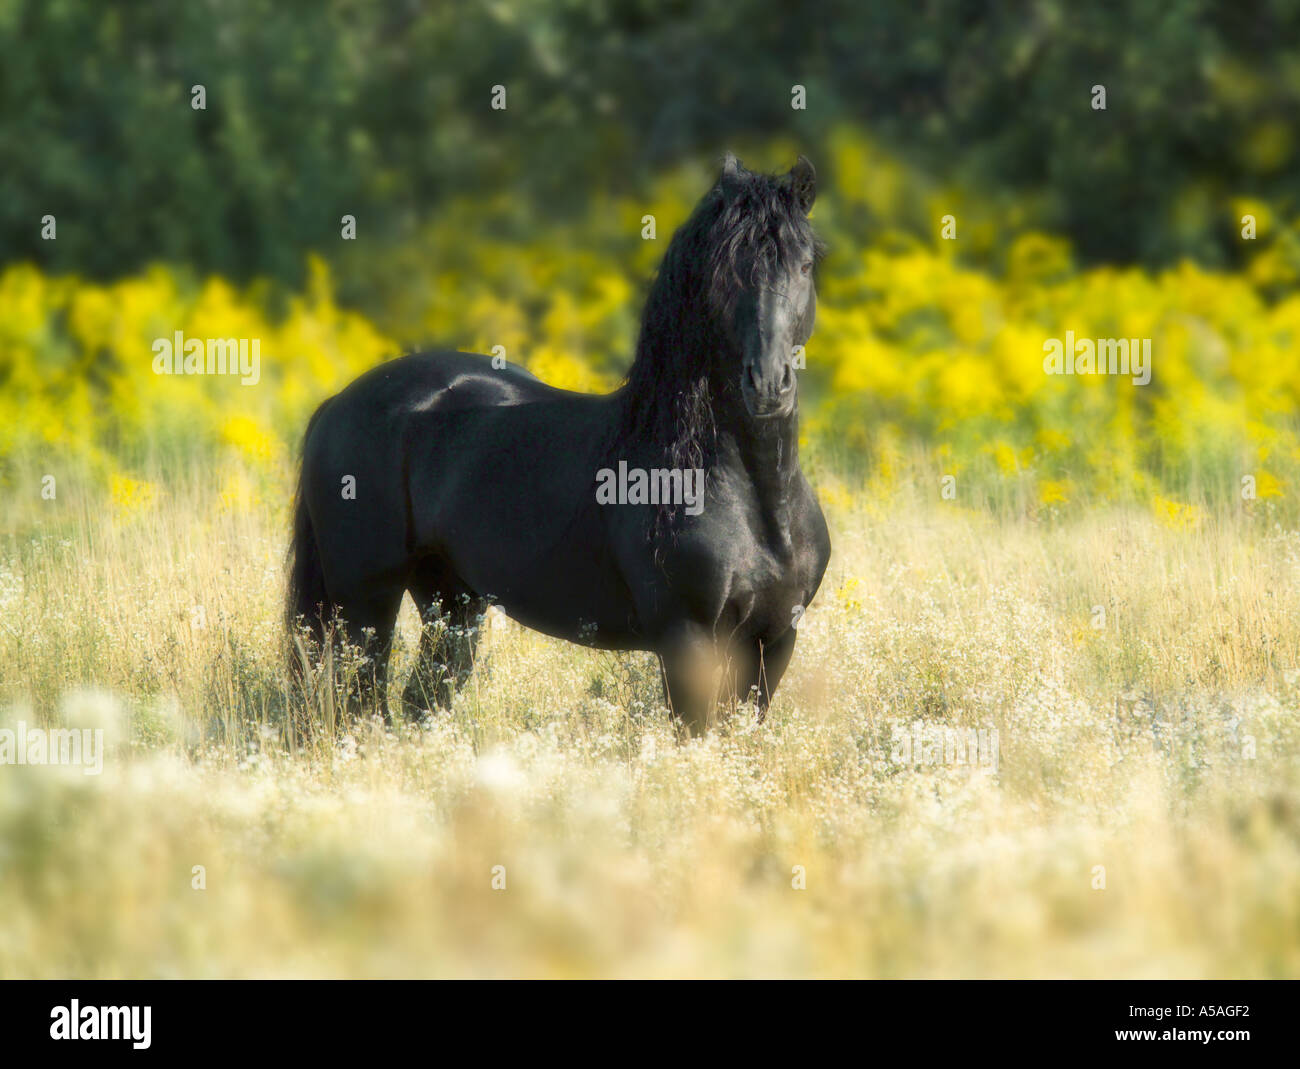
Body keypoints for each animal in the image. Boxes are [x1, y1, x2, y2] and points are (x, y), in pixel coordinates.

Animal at [287, 153, 831, 735]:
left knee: (418, 705)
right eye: (724, 273)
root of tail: (340, 401)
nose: (767, 385)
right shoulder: (687, 639)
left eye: (803, 266)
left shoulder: (774, 640)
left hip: (451, 601)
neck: (753, 500)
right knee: (361, 707)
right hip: (363, 605)